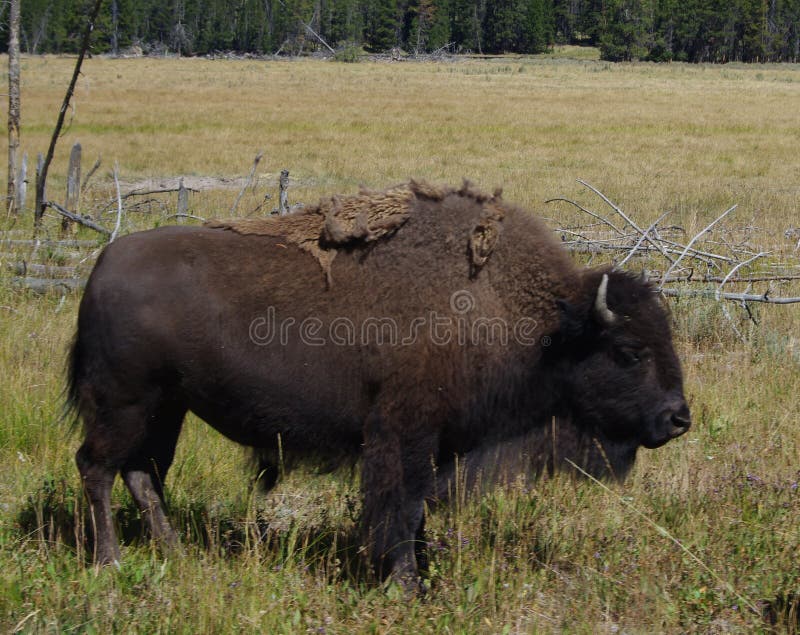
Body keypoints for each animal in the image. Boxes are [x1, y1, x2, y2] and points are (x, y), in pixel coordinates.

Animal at [67, 180, 690, 587]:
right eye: (629, 352)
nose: (678, 418)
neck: (545, 326)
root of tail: (104, 263)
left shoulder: (433, 444)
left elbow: (417, 512)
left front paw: (421, 571)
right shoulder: (403, 435)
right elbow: (404, 507)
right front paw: (405, 583)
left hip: (165, 408)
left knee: (142, 473)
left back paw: (174, 551)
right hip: (123, 404)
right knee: (97, 467)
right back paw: (108, 562)